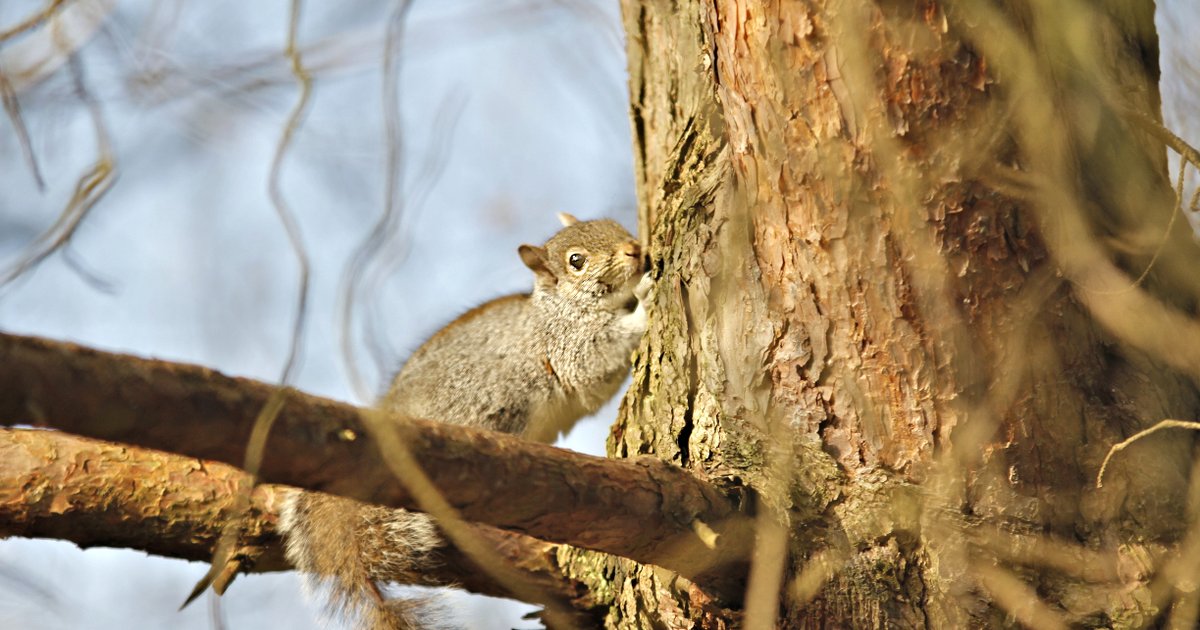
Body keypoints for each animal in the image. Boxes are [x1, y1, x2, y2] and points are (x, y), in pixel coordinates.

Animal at [279, 214, 650, 629]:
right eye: (576, 261)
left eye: (611, 223)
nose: (634, 249)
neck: (559, 306)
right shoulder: (567, 346)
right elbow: (595, 362)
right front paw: (644, 303)